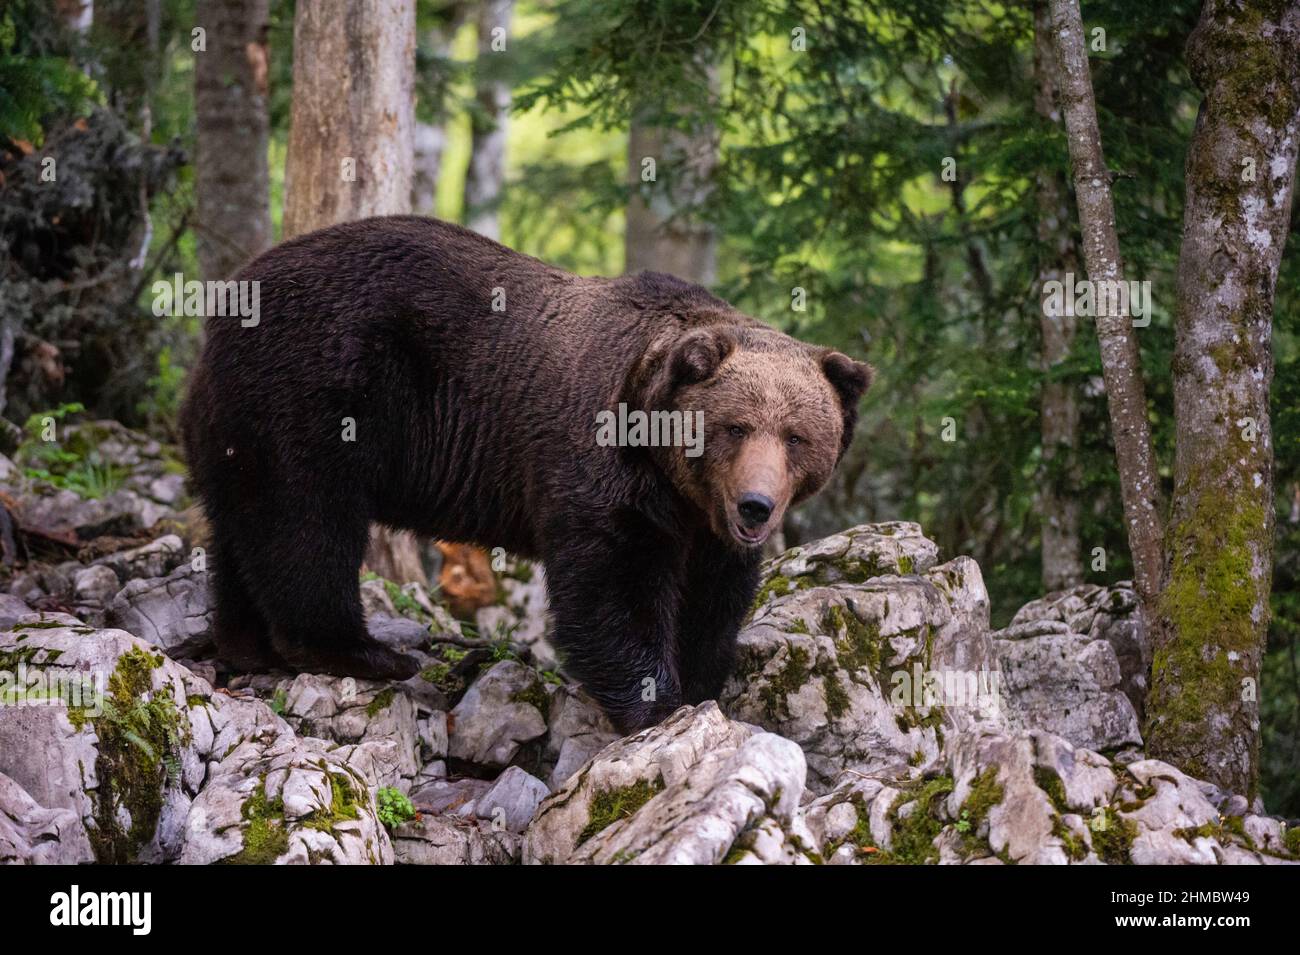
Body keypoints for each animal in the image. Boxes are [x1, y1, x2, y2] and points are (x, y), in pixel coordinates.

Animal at [180, 216, 872, 732]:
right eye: (735, 427)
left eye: (797, 436)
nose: (756, 505)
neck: (674, 479)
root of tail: (231, 293)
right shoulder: (603, 467)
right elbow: (612, 585)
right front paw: (657, 704)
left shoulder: (704, 525)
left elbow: (712, 596)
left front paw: (704, 684)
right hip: (316, 389)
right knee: (306, 522)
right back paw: (364, 651)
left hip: (241, 423)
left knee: (244, 523)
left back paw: (247, 642)